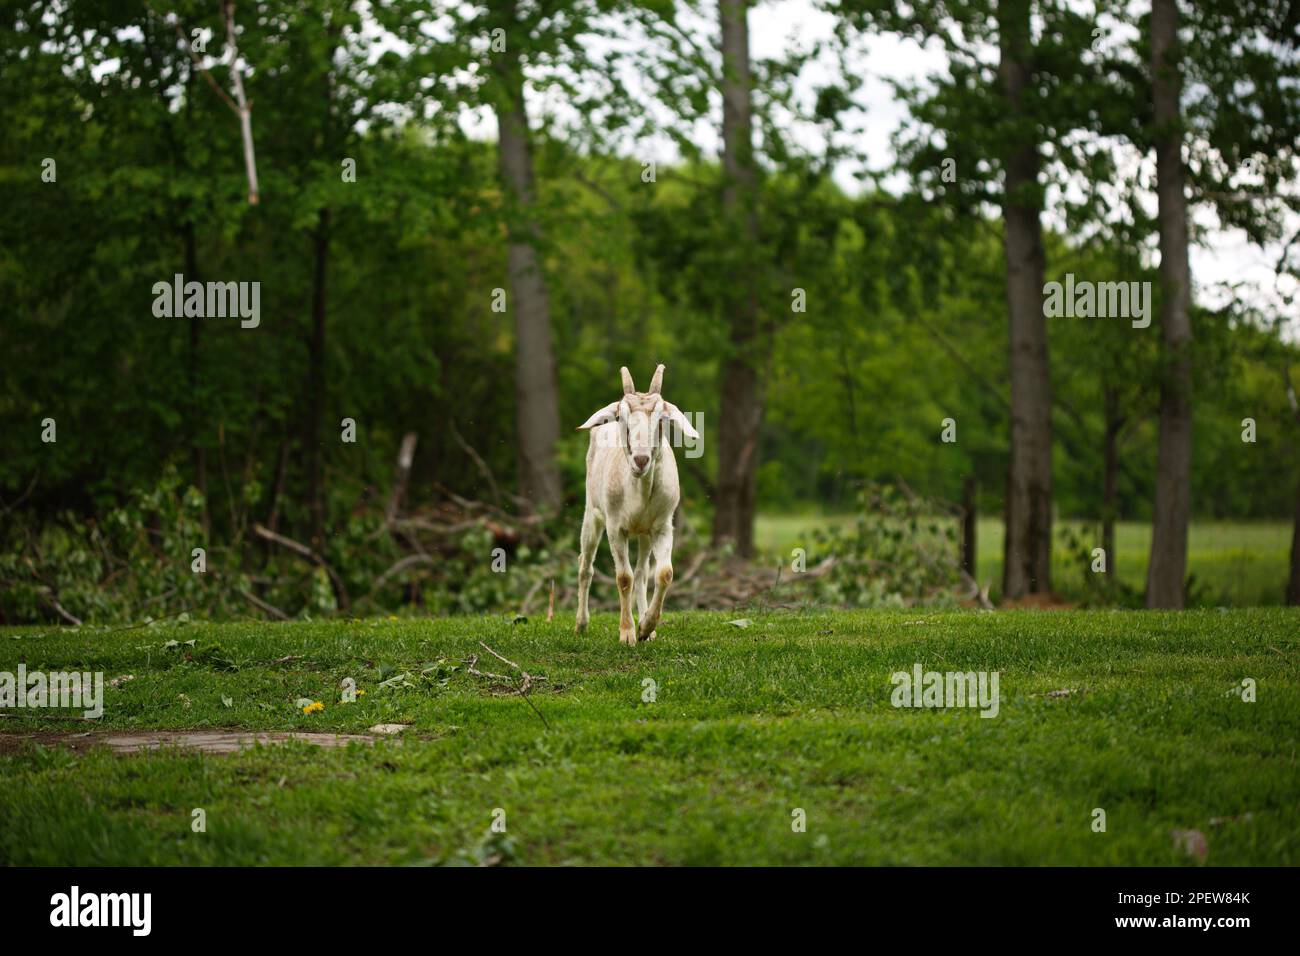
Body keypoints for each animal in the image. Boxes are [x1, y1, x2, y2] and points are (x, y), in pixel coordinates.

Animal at [575, 364, 699, 645]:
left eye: (662, 419)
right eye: (621, 417)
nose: (641, 460)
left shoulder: (662, 526)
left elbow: (664, 573)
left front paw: (645, 627)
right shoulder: (615, 527)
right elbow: (623, 577)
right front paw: (627, 633)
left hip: (644, 532)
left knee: (643, 573)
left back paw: (646, 626)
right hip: (592, 513)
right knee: (586, 565)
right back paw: (581, 624)